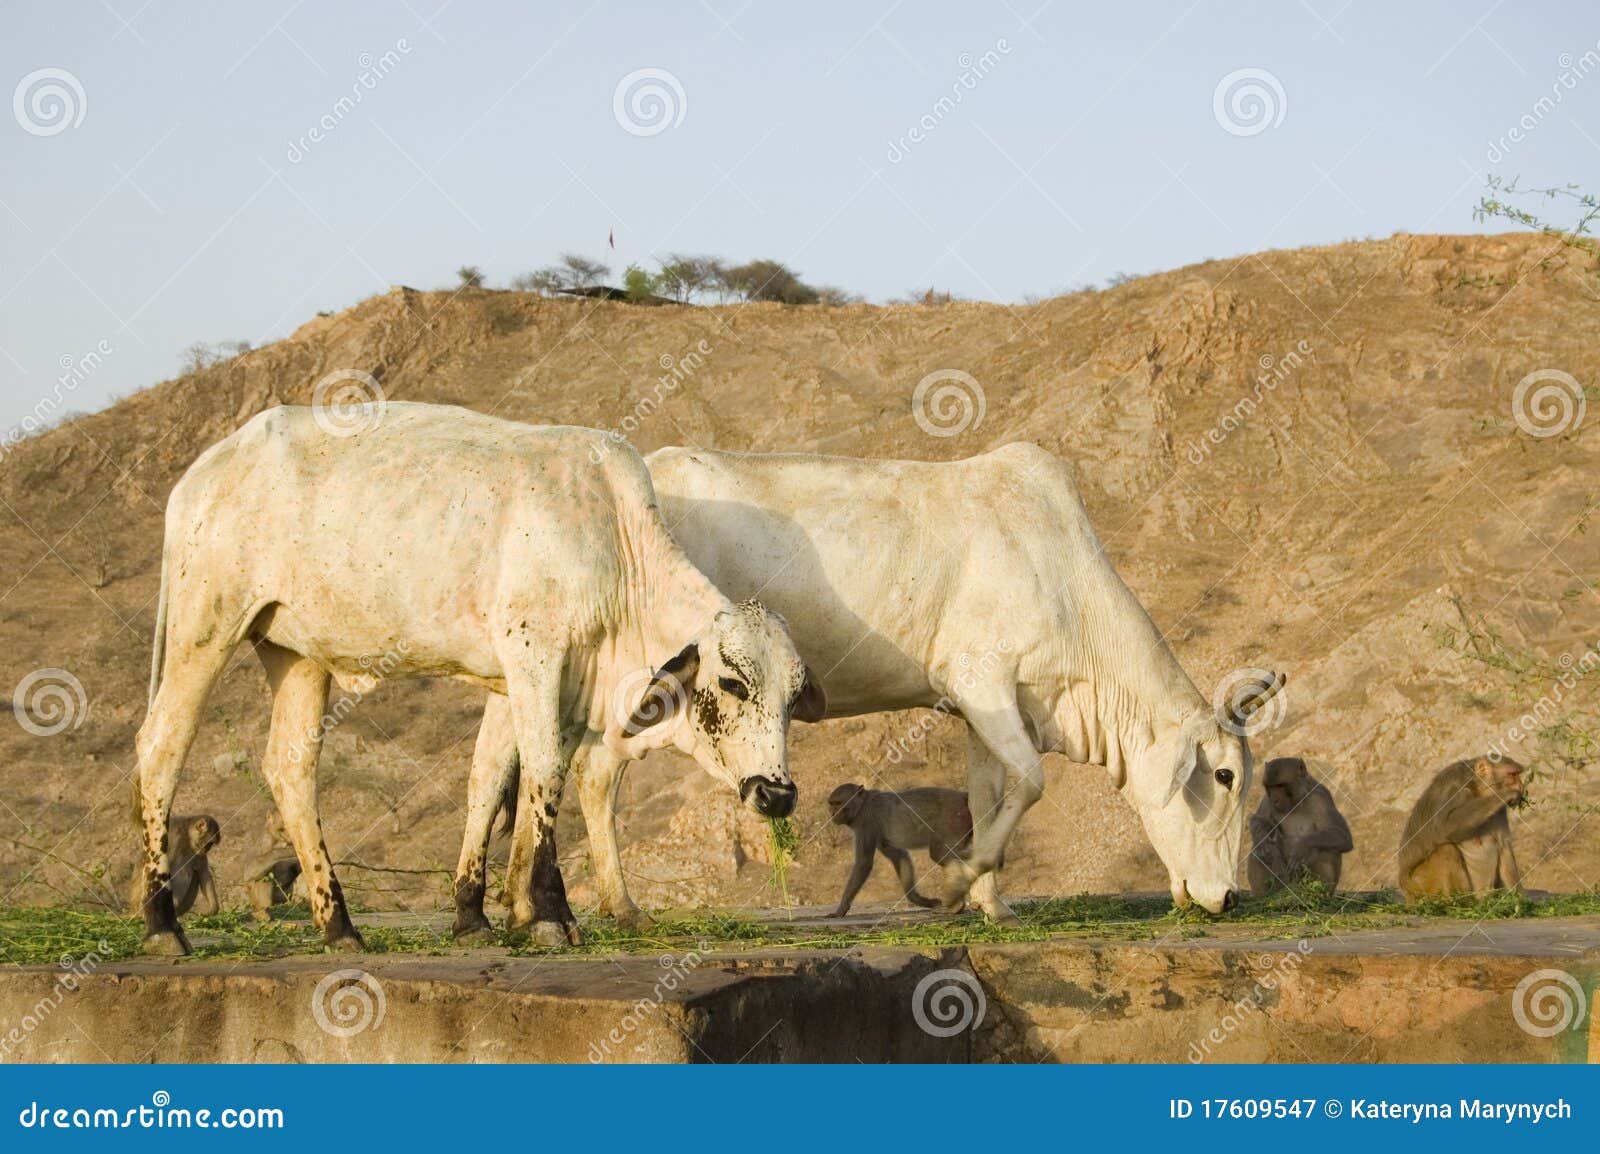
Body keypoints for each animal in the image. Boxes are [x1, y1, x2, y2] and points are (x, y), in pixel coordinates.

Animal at [133, 403, 823, 955]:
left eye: (794, 699)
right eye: (732, 683)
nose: (778, 795)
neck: (615, 547)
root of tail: (205, 470)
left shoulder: (549, 683)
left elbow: (492, 779)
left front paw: (477, 915)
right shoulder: (536, 658)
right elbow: (542, 775)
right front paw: (549, 913)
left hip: (294, 651)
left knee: (290, 767)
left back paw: (339, 925)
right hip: (204, 627)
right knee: (161, 747)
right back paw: (164, 924)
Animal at [826, 783, 973, 917]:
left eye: (838, 803)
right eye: (831, 804)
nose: (832, 814)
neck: (862, 804)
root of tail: (962, 796)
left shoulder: (866, 822)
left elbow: (863, 863)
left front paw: (841, 910)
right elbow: (898, 855)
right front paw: (920, 900)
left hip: (953, 820)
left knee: (940, 853)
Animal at [1246, 757, 1353, 894]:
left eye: (1280, 785)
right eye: (1270, 787)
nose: (1275, 799)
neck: (1296, 801)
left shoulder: (1320, 797)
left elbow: (1341, 835)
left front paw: (1301, 847)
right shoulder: (1267, 799)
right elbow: (1259, 819)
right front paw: (1263, 837)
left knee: (1326, 848)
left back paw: (1316, 893)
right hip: (1284, 881)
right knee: (1258, 852)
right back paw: (1267, 895)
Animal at [1399, 756, 1525, 900]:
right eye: (1512, 775)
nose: (1521, 786)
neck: (1478, 789)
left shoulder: (1499, 811)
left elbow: (1504, 846)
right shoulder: (1455, 787)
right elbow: (1444, 826)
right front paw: (1507, 793)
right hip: (1420, 886)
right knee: (1446, 849)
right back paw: (1459, 902)